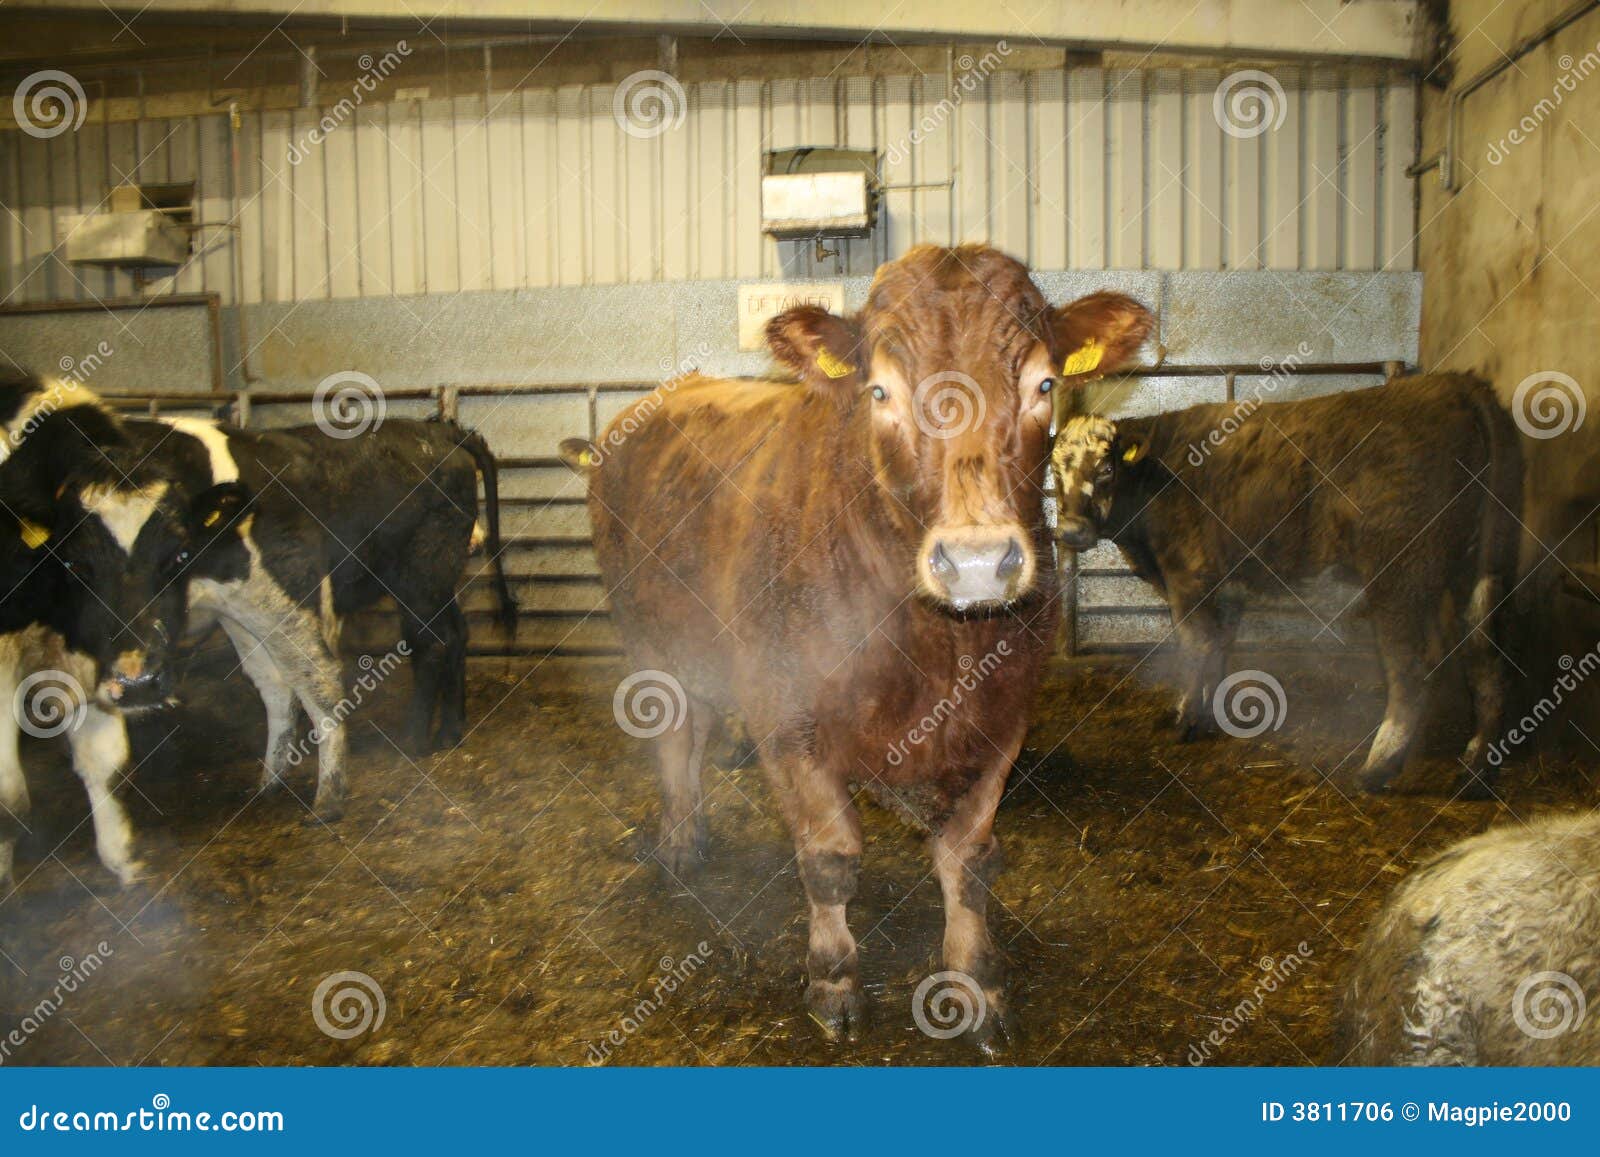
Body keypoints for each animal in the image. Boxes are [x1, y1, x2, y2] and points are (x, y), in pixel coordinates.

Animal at [0, 374, 515, 890]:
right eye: (74, 563)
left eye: (177, 554)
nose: (137, 680)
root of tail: (437, 430)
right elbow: (271, 689)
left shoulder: (289, 581)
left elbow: (318, 681)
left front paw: (329, 799)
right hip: (429, 578)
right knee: (454, 635)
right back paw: (448, 731)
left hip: (416, 574)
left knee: (429, 644)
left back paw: (414, 741)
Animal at [565, 244, 1152, 1051]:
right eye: (879, 390)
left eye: (1044, 384)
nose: (977, 561)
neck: (935, 646)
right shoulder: (787, 719)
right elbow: (830, 859)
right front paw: (833, 981)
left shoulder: (1003, 721)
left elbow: (969, 863)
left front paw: (979, 982)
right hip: (649, 641)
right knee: (675, 738)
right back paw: (679, 840)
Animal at [1049, 373, 1523, 797]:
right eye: (1054, 471)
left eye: (1106, 467)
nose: (1070, 531)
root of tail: (1458, 383)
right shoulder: (1225, 589)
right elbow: (1219, 648)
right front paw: (1209, 716)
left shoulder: (1188, 579)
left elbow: (1195, 647)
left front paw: (1185, 722)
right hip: (1483, 569)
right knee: (1487, 659)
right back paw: (1477, 771)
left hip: (1400, 576)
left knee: (1413, 668)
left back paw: (1377, 768)